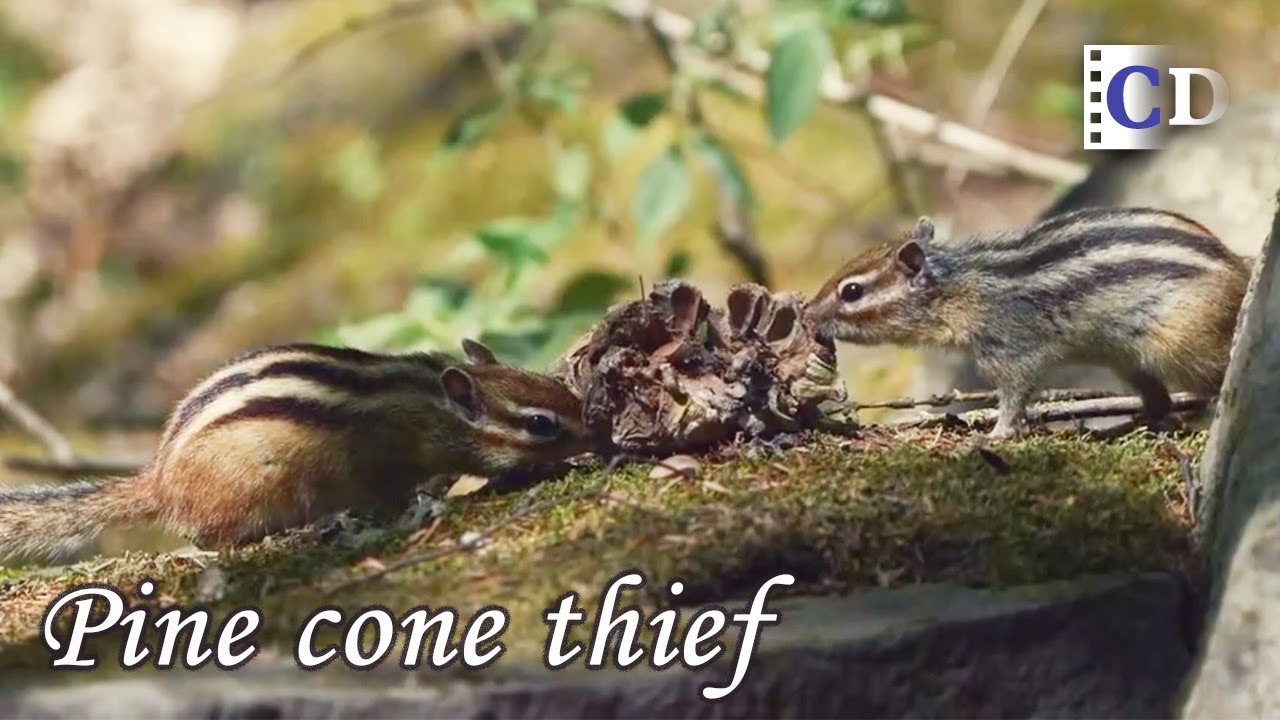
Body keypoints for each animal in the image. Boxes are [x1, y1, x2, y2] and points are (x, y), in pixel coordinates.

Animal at [0, 339, 587, 562]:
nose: (596, 436)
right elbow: (392, 494)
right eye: (540, 424)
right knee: (206, 537)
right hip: (248, 489)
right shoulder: (380, 462)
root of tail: (159, 479)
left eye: (558, 388)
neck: (425, 404)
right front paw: (418, 504)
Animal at [804, 207, 1251, 439]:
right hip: (1131, 362)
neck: (960, 286)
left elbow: (1015, 395)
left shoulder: (1012, 350)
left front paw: (997, 435)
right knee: (1157, 399)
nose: (807, 313)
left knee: (1216, 379)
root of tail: (1240, 269)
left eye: (851, 292)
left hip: (1185, 348)